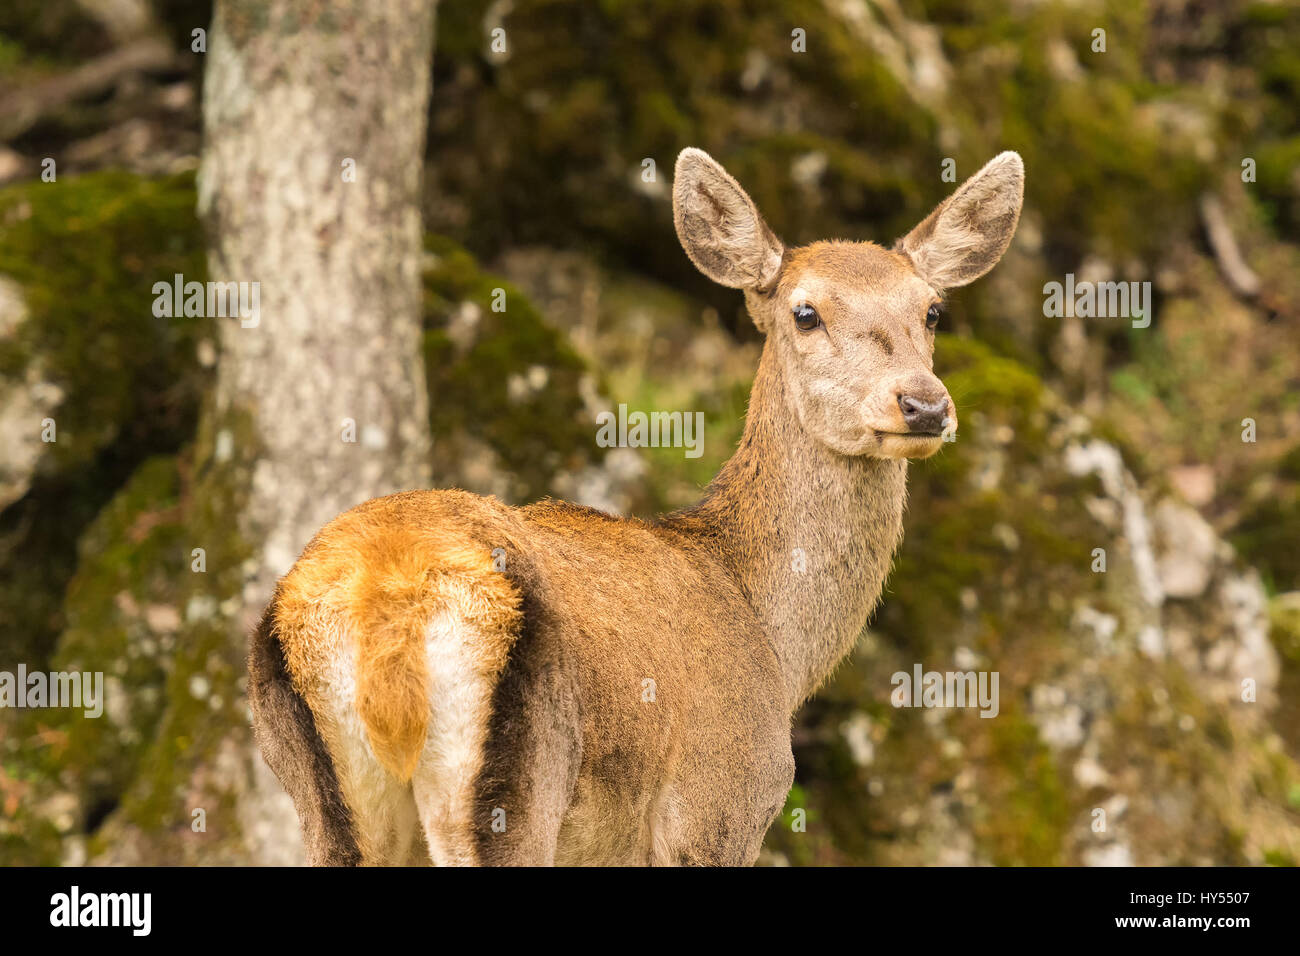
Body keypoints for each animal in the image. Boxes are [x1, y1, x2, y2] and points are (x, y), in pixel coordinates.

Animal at [248, 147, 1024, 866]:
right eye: (806, 312)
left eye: (931, 310)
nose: (924, 405)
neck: (777, 644)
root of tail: (380, 599)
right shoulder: (718, 806)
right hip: (520, 784)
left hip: (323, 801)